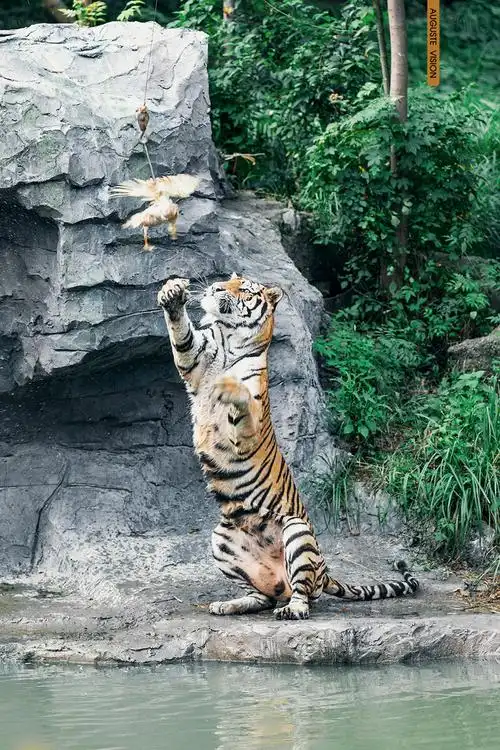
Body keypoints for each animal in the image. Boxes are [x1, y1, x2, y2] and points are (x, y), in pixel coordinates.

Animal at [157, 274, 419, 620]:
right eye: (227, 280)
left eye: (244, 289)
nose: (216, 288)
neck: (227, 336)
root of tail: (325, 572)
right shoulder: (195, 359)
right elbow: (182, 336)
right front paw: (172, 292)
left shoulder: (248, 426)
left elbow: (241, 398)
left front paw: (229, 386)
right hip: (221, 539)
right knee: (263, 596)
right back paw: (229, 604)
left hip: (298, 532)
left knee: (302, 592)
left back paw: (292, 609)